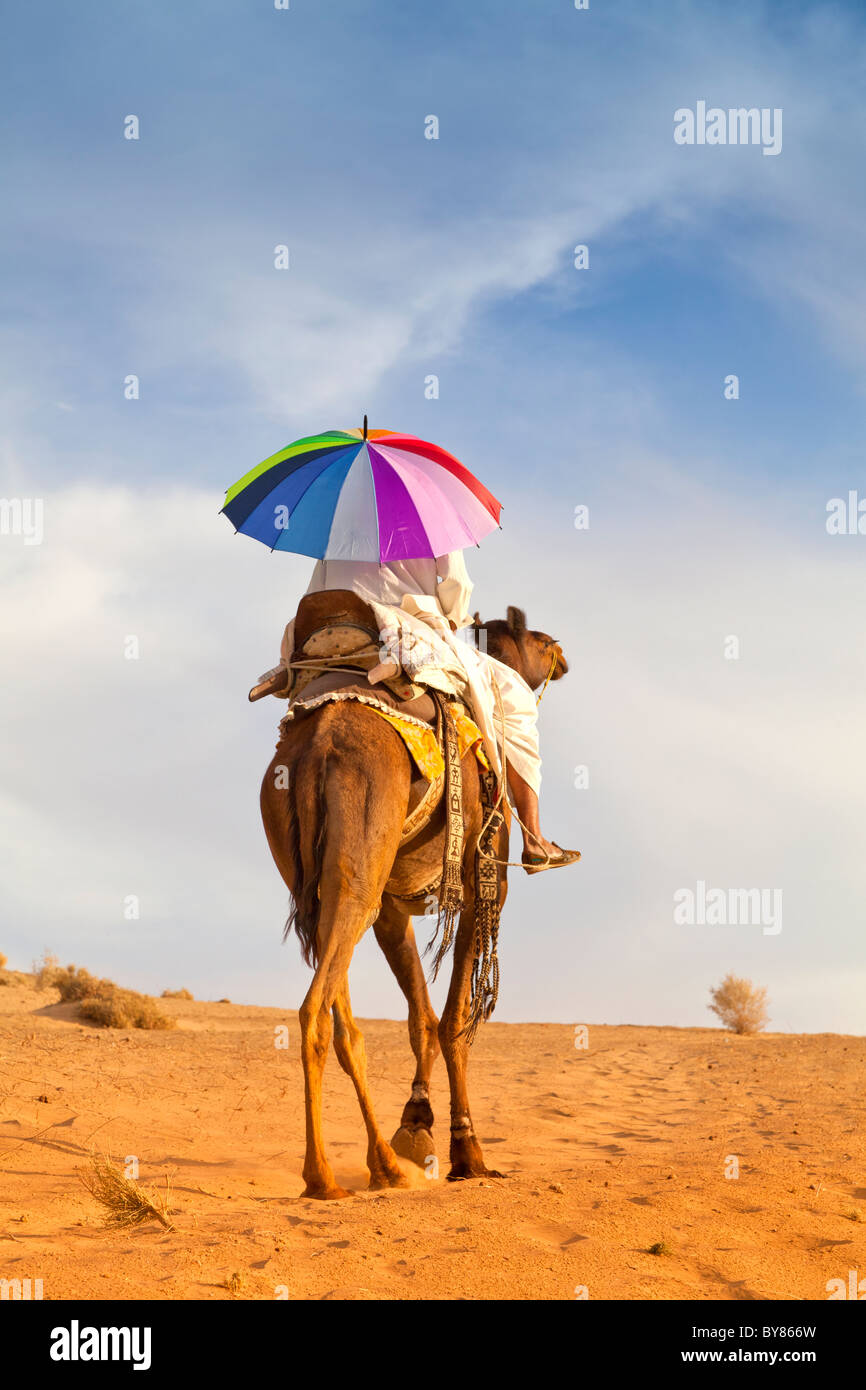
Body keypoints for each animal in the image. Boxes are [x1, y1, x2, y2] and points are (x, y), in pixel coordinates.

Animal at [259, 599, 569, 1199]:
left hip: (331, 884)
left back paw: (382, 1163)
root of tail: (319, 747)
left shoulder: (393, 908)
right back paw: (323, 1177)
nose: (563, 658)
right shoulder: (483, 886)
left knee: (344, 1022)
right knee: (314, 1012)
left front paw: (416, 1125)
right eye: (543, 643)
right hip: (360, 872)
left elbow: (420, 1019)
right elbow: (453, 1022)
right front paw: (467, 1152)